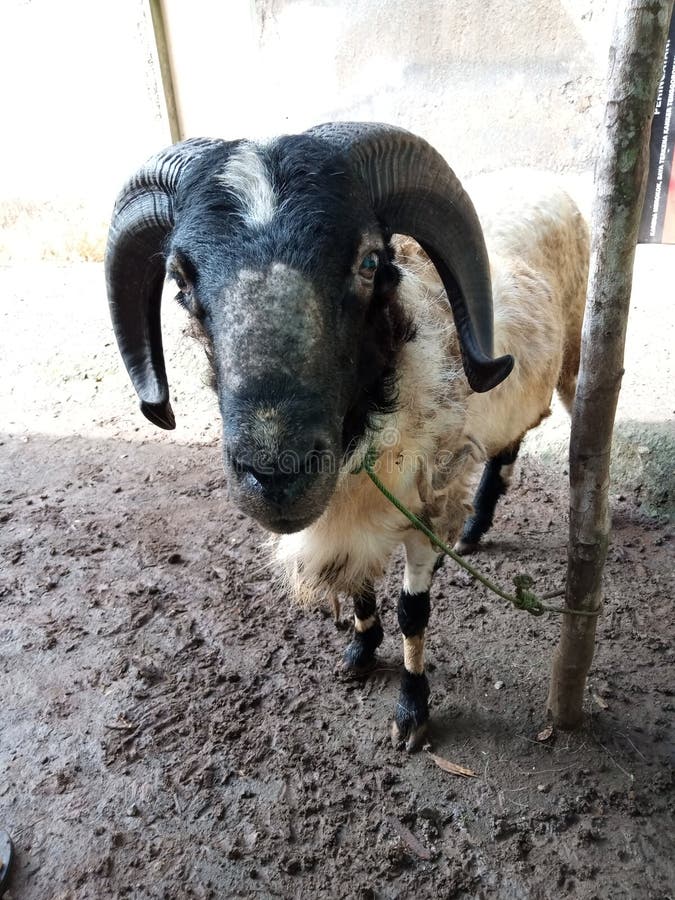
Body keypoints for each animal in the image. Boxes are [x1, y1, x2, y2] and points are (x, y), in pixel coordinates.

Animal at [106, 123, 589, 751]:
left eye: (369, 260)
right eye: (181, 280)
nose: (277, 476)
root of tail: (540, 178)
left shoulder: (428, 508)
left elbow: (413, 613)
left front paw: (411, 711)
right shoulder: (351, 523)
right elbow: (358, 584)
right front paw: (359, 651)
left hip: (574, 353)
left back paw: (482, 527)